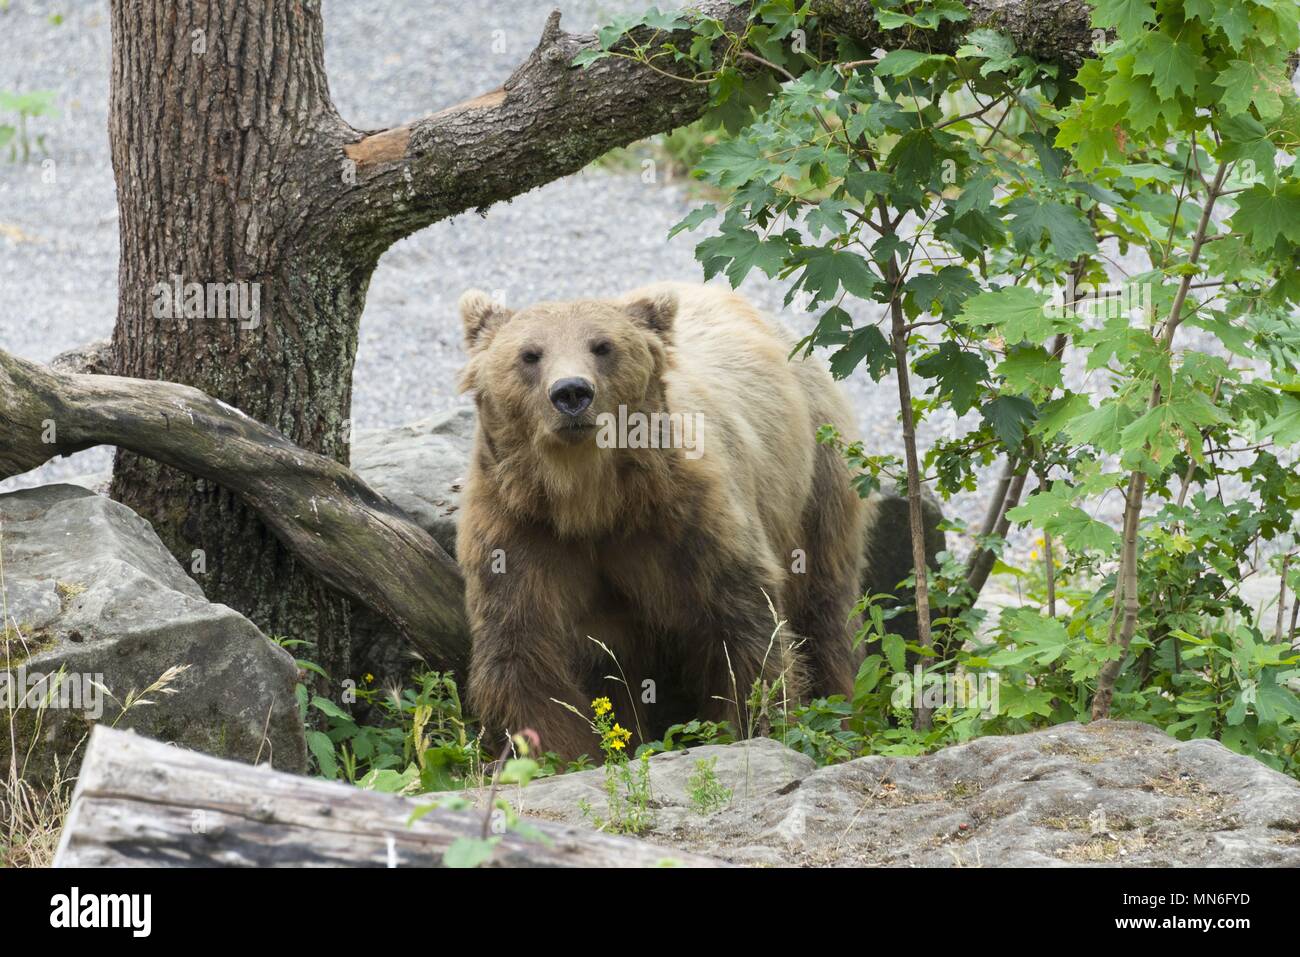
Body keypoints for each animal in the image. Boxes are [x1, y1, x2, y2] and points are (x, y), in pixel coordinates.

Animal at [456, 282, 868, 760]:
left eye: (603, 346)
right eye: (529, 354)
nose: (572, 392)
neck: (589, 502)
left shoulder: (688, 521)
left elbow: (743, 628)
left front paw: (750, 725)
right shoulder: (518, 530)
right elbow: (524, 649)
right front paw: (561, 752)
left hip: (819, 471)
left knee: (826, 603)